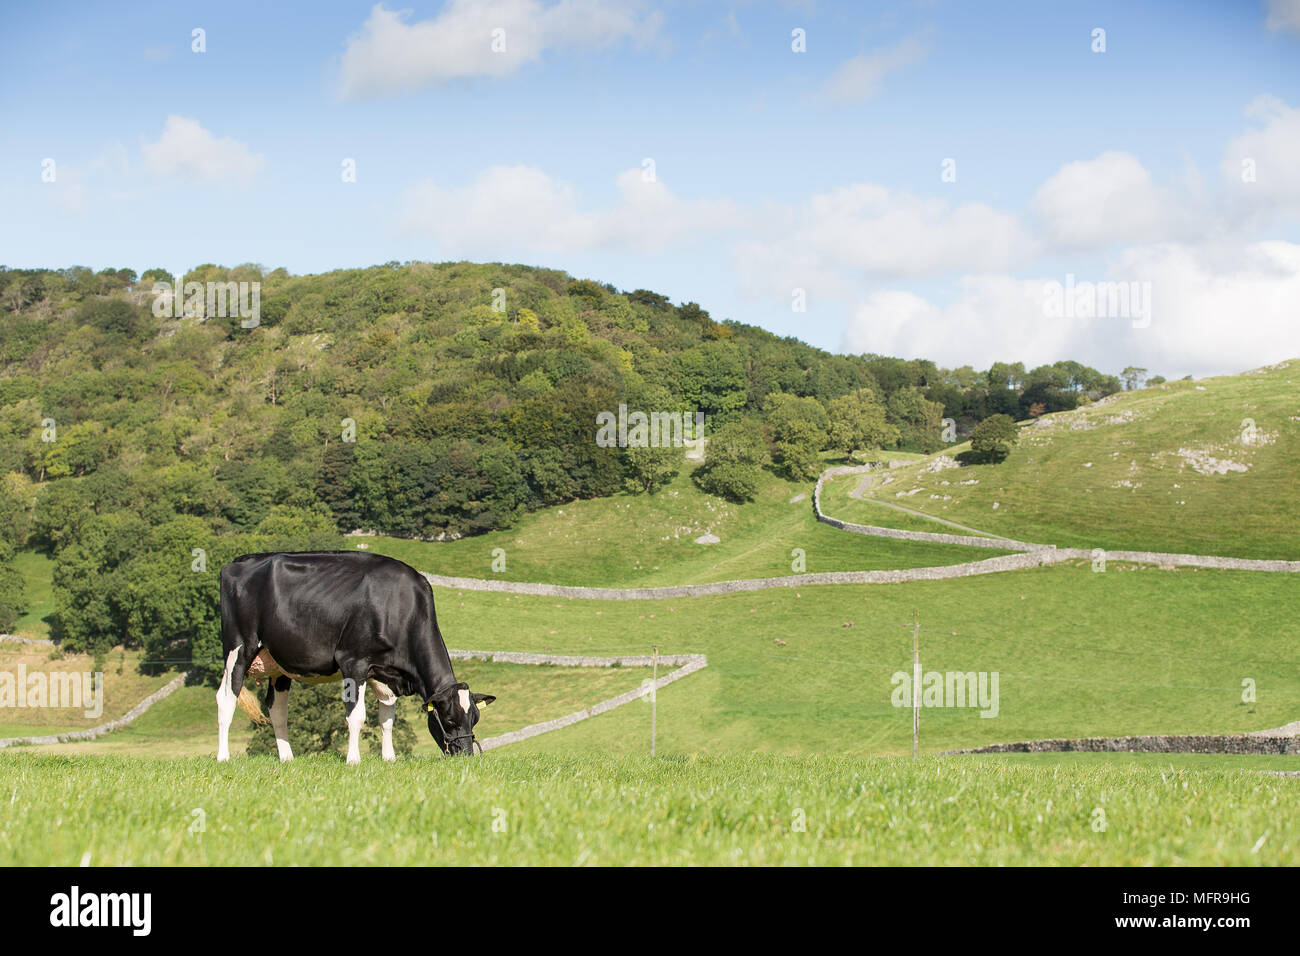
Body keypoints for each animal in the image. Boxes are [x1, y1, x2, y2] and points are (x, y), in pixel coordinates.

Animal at [216, 550, 495, 763]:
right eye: (448, 720)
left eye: (475, 719)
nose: (466, 755)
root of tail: (237, 562)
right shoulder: (353, 662)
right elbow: (356, 716)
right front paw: (353, 759)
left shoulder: (383, 674)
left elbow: (387, 718)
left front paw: (389, 758)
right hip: (238, 648)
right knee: (226, 697)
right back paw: (223, 757)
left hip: (279, 662)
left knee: (277, 709)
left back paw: (287, 758)